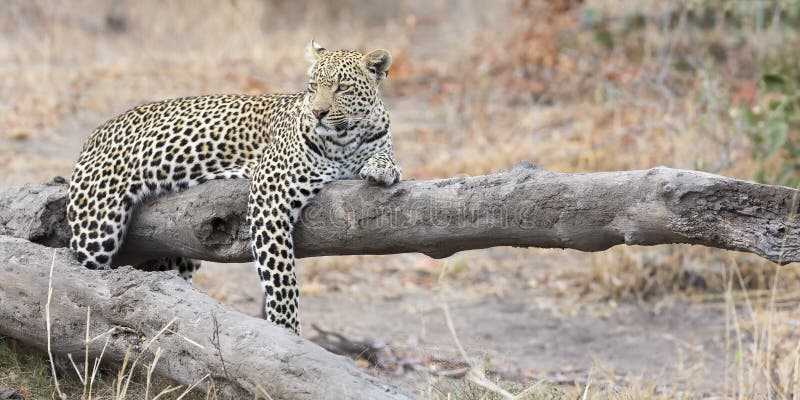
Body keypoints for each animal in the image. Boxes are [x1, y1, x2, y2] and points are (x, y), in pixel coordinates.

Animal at [67, 41, 402, 334]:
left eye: (341, 87)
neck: (347, 138)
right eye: (312, 87)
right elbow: (281, 278)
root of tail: (94, 133)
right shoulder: (269, 193)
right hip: (97, 226)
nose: (318, 113)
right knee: (80, 275)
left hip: (179, 250)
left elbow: (388, 158)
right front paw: (288, 333)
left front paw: (381, 168)